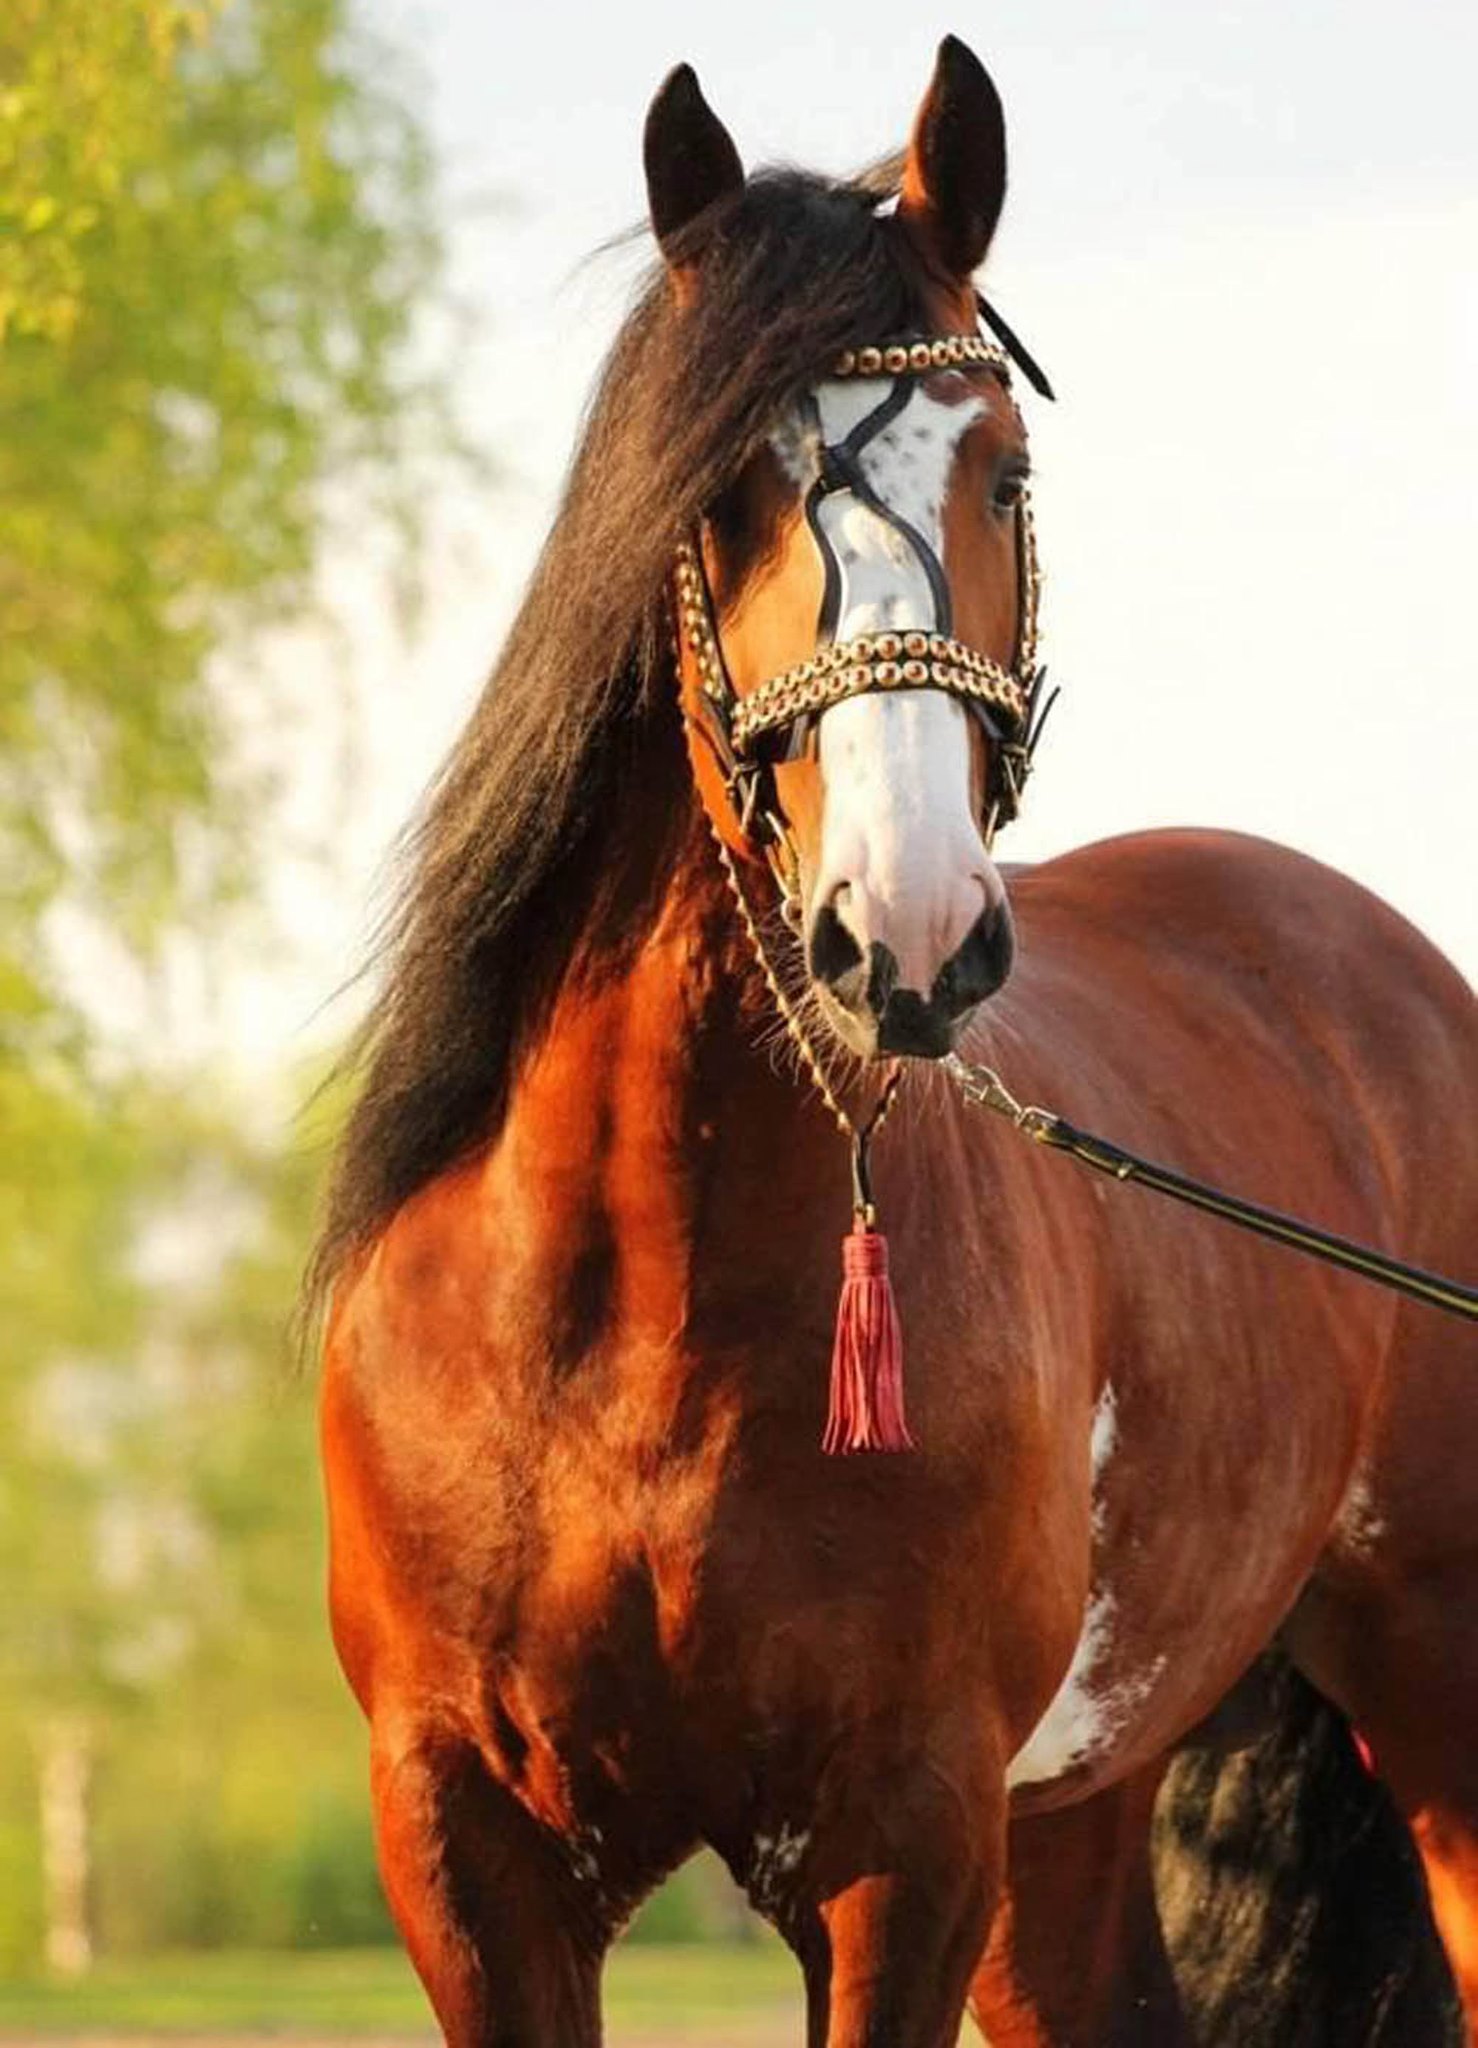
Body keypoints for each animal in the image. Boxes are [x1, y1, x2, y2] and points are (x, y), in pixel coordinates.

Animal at [310, 38, 1478, 2045]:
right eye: (714, 489)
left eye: (1002, 475)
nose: (909, 933)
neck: (637, 1319)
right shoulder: (467, 1850)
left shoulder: (901, 1847)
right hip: (1075, 1812)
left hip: (1440, 1695)